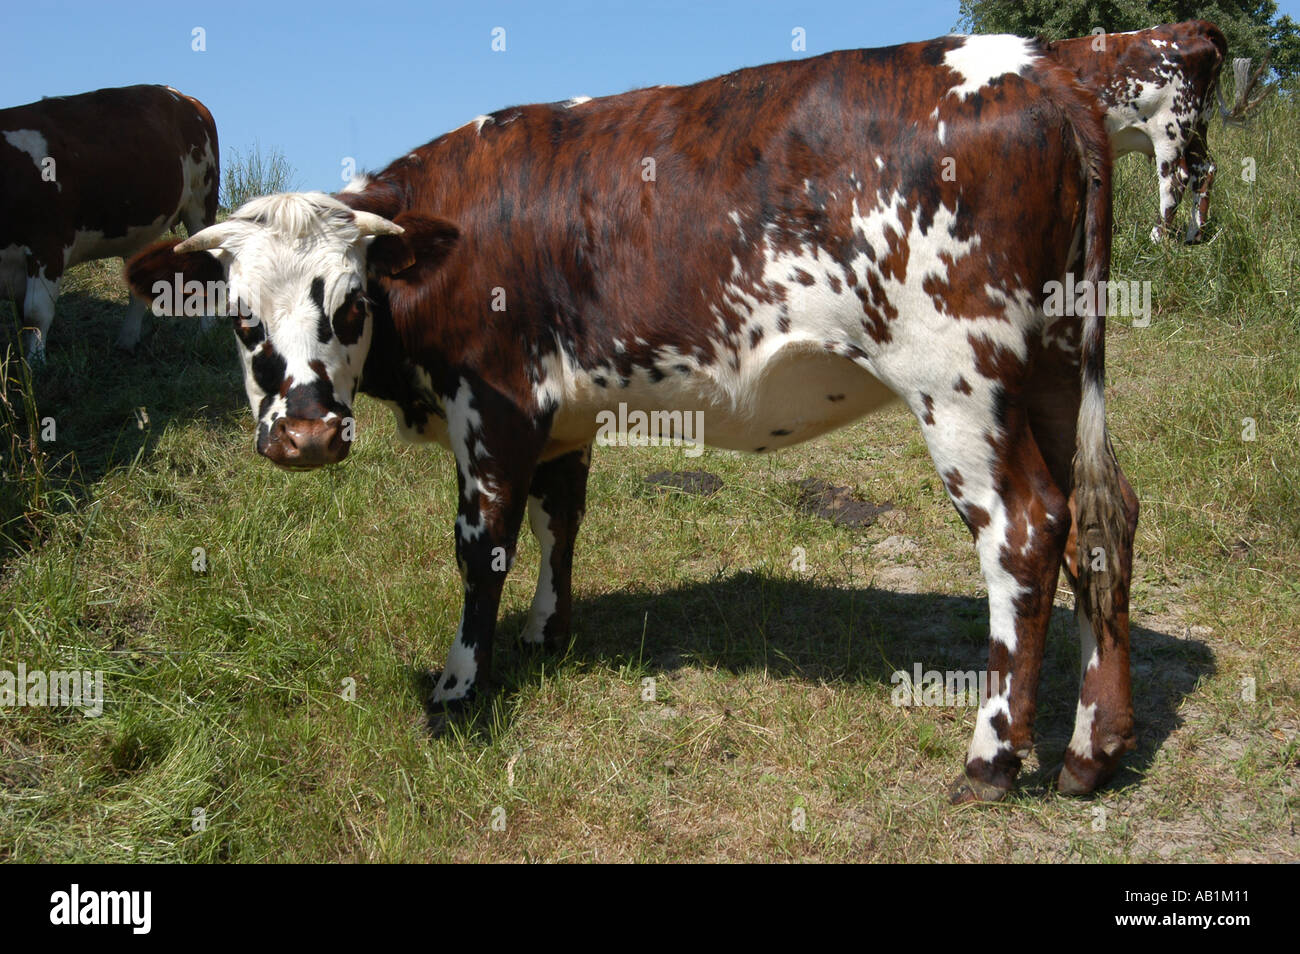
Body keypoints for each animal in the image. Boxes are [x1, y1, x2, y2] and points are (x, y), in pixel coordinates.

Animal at [1, 84, 220, 361]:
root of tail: (181, 96)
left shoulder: (49, 244)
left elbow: (36, 314)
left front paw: (36, 364)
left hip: (201, 204)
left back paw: (205, 335)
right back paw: (126, 341)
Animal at [126, 34, 1141, 803]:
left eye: (347, 306)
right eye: (240, 318)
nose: (303, 434)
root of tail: (1043, 71)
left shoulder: (491, 407)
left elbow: (481, 546)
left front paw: (459, 683)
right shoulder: (560, 417)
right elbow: (558, 521)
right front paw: (548, 629)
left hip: (961, 382)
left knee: (1024, 531)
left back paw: (992, 758)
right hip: (1055, 369)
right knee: (1106, 519)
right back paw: (1094, 748)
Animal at [1047, 20, 1227, 243]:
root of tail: (1192, 26)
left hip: (1170, 129)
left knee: (1176, 178)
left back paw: (1157, 237)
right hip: (1199, 126)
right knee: (1204, 169)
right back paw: (1194, 235)